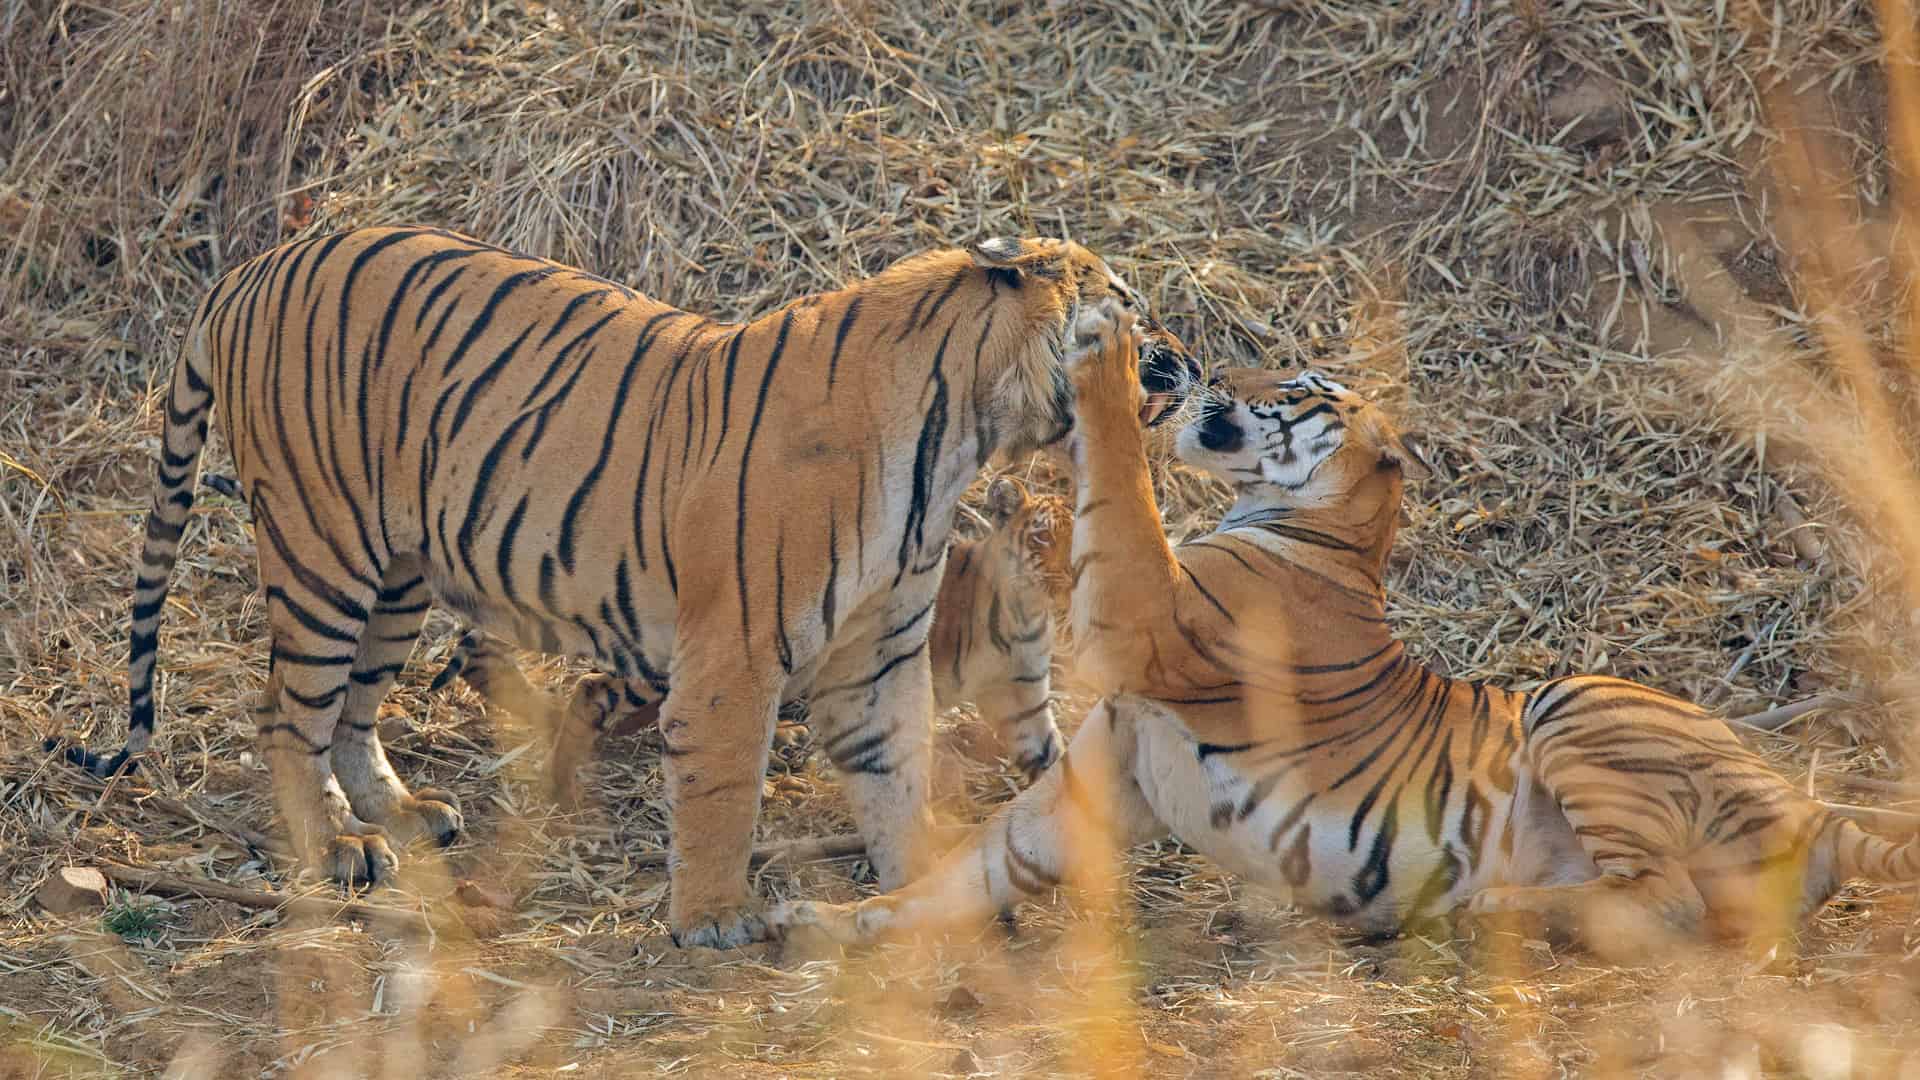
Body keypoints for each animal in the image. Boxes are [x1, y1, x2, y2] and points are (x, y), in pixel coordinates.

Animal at [420, 474, 1076, 804]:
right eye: (1042, 537)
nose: (1071, 576)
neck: (1024, 615)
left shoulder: (1025, 696)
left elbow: (1054, 758)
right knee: (590, 693)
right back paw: (562, 791)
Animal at [770, 323, 1920, 959]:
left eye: (1293, 390)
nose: (1196, 364)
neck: (1312, 526)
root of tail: (1812, 807)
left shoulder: (1143, 612)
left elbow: (1122, 488)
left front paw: (1104, 350)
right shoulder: (1100, 779)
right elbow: (973, 868)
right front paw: (828, 929)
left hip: (1576, 703)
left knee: (1669, 903)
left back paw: (1485, 908)